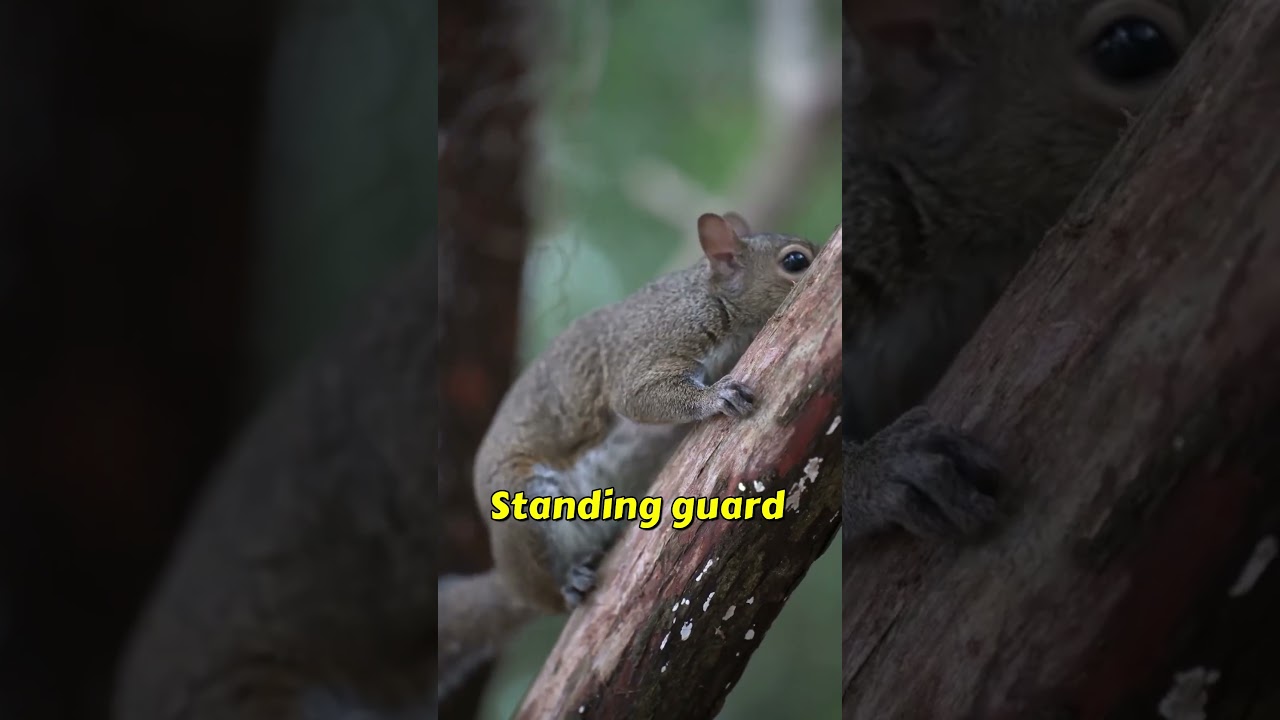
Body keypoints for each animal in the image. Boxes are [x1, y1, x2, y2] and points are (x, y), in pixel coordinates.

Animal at [436, 211, 819, 697]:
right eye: (795, 261)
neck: (710, 293)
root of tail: (507, 577)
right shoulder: (661, 340)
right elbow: (636, 396)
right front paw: (714, 398)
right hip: (523, 510)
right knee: (546, 592)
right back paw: (569, 583)